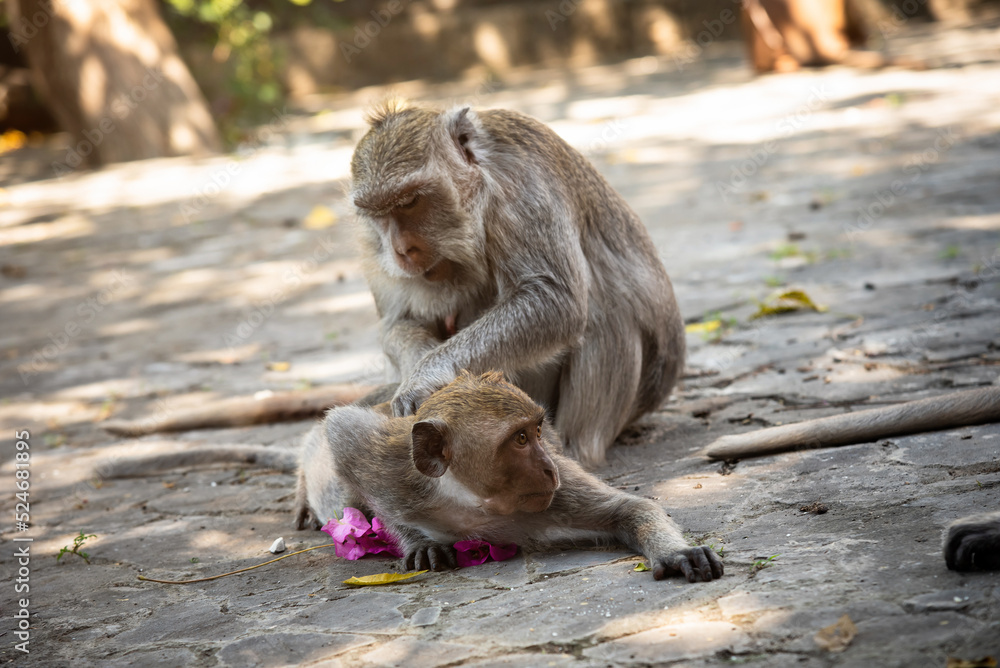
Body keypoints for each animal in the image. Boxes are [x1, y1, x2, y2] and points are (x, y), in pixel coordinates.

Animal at [347, 99, 685, 468]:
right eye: (379, 214)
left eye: (410, 201)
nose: (401, 250)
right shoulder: (372, 244)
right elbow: (398, 323)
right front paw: (419, 361)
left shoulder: (523, 186)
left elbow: (555, 300)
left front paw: (429, 374)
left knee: (604, 310)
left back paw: (570, 449)